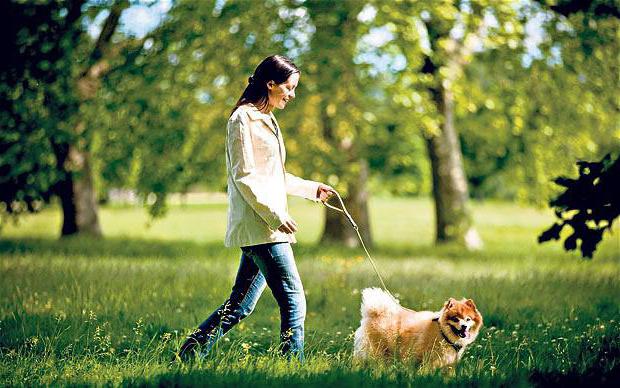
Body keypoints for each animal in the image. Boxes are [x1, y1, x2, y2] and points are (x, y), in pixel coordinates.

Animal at [352, 290, 482, 368]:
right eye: (455, 319)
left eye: (468, 319)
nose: (464, 326)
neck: (442, 333)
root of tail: (373, 313)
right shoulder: (429, 360)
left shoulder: (448, 363)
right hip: (376, 351)